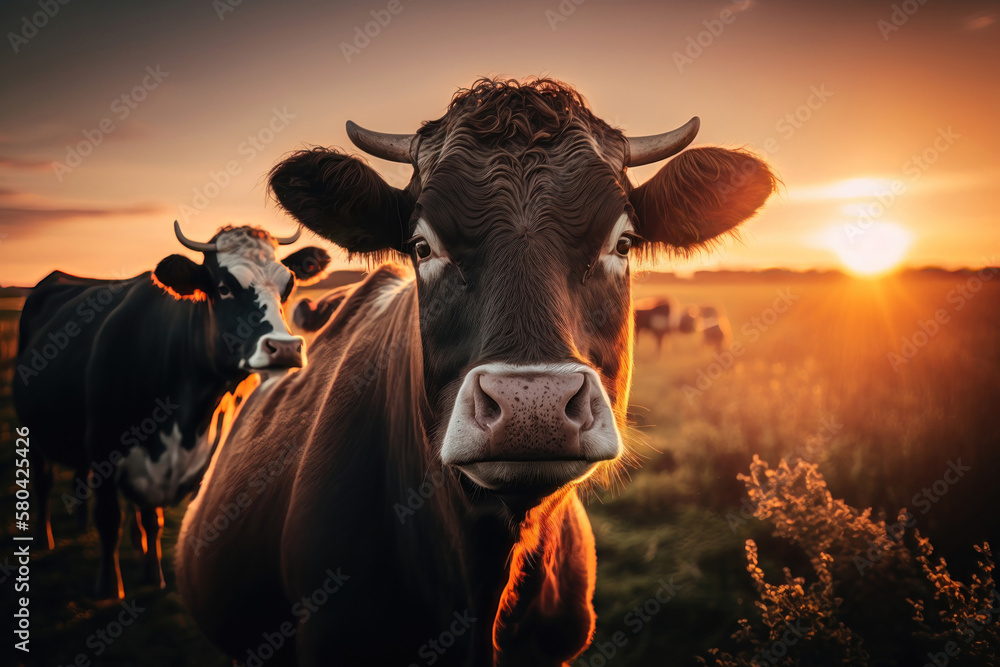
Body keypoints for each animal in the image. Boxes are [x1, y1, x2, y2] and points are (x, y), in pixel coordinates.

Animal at [13, 222, 330, 599]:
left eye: (287, 287)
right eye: (224, 288)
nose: (284, 348)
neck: (187, 416)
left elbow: (156, 519)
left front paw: (155, 574)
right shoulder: (103, 447)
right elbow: (110, 519)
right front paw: (109, 586)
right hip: (32, 429)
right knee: (43, 480)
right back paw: (43, 538)